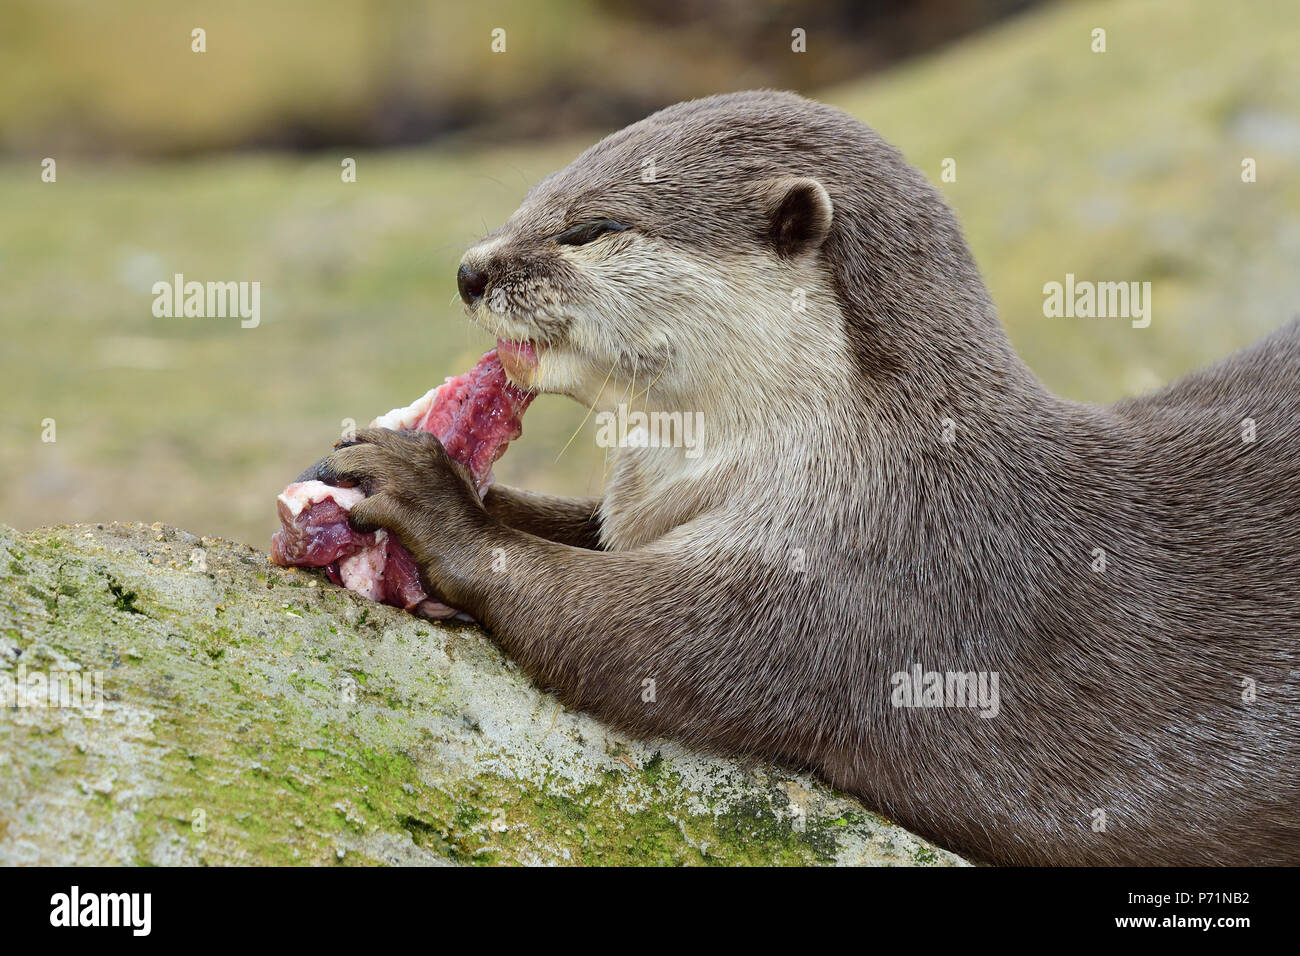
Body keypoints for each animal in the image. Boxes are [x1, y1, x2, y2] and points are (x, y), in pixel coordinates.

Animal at [317, 90, 1300, 866]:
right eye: (530, 197)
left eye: (591, 228)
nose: (469, 271)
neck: (865, 455)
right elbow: (583, 527)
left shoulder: (865, 575)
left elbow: (620, 636)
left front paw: (430, 494)